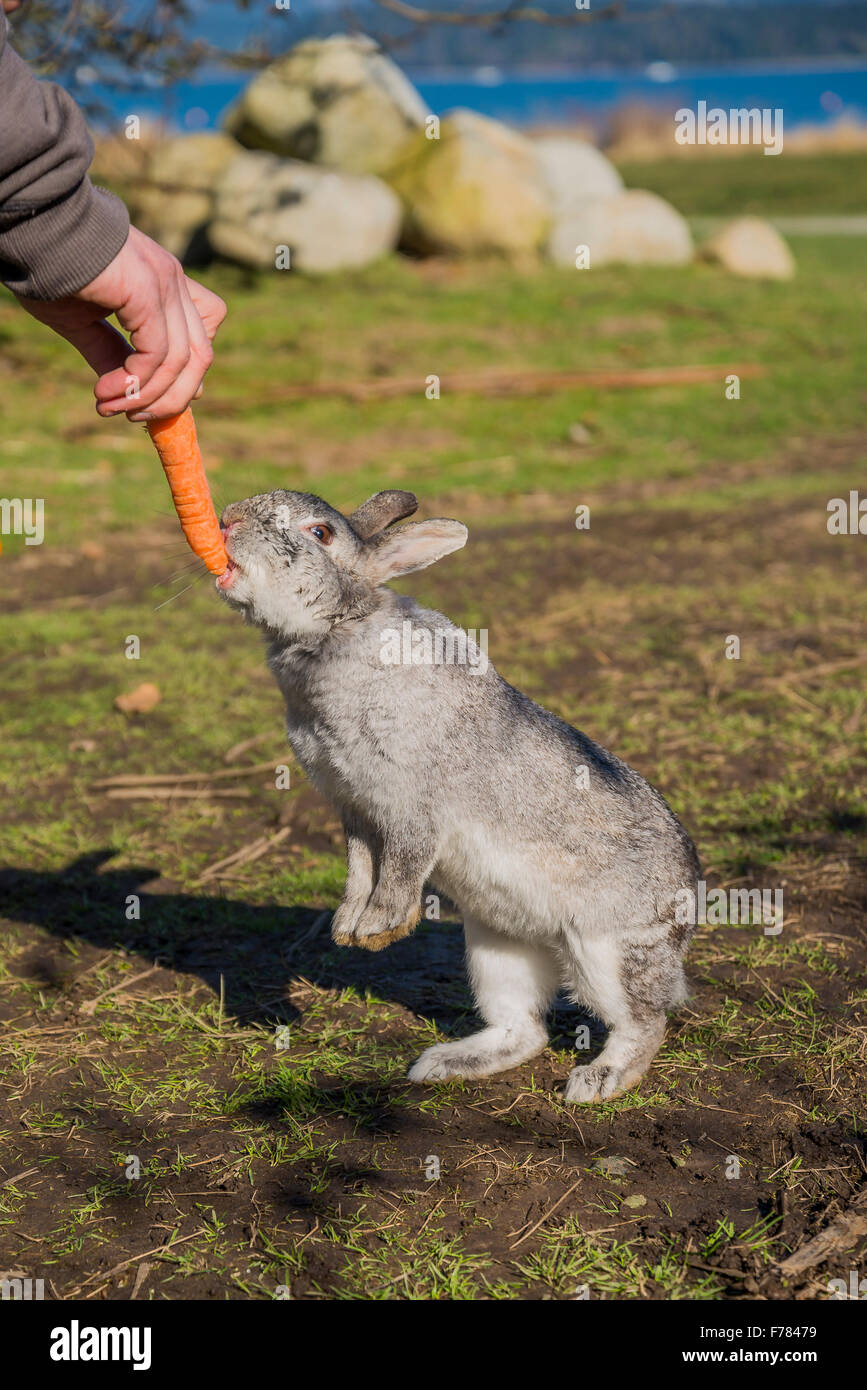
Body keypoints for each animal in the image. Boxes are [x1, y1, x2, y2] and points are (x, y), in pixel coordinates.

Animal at [216, 486, 700, 1103]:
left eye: (320, 533)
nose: (226, 520)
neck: (336, 629)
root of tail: (690, 898)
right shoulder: (354, 809)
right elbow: (359, 867)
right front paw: (348, 929)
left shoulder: (412, 805)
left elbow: (401, 864)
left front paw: (378, 930)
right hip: (496, 948)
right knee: (524, 1029)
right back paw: (441, 1065)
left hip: (607, 950)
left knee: (645, 1021)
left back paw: (595, 1082)